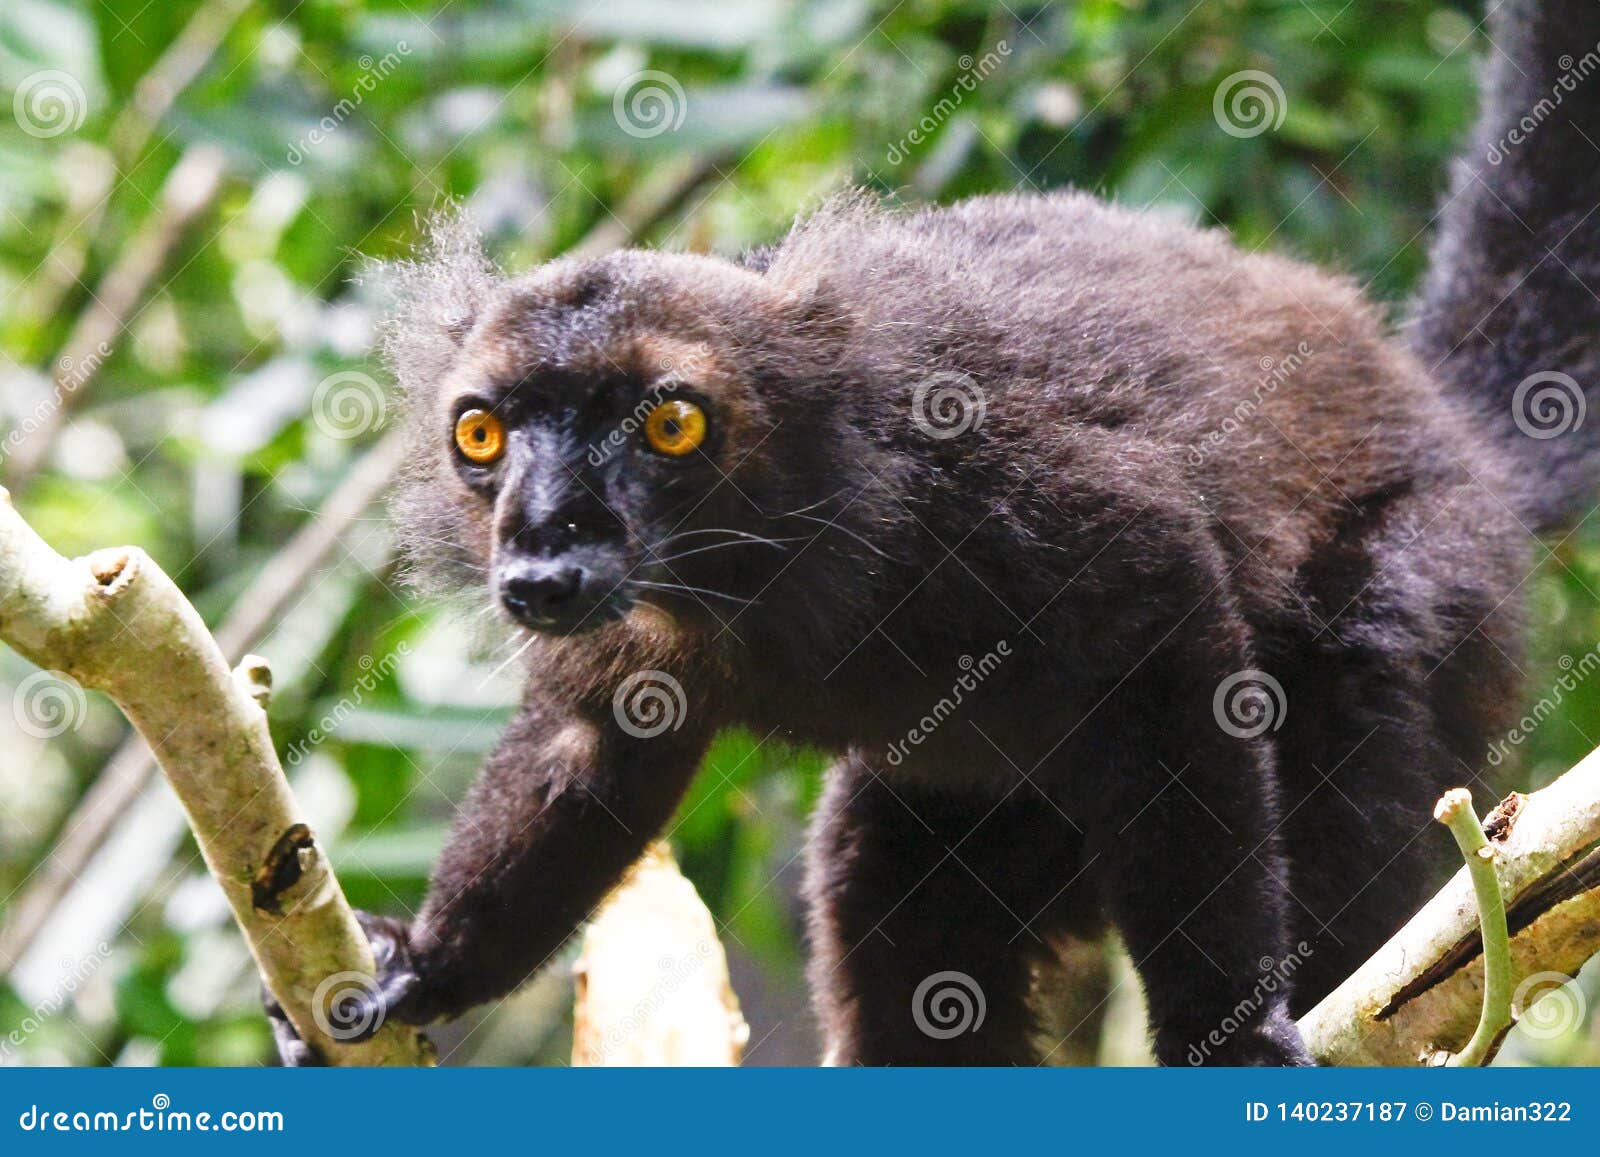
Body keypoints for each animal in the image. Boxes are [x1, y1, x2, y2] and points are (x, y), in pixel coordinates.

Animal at [267, 0, 1600, 1066]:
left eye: (670, 424)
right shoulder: (635, 631)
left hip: (1432, 568)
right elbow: (592, 748)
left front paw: (1223, 1030)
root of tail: (1453, 427)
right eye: (482, 433)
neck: (748, 564)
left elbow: (1173, 653)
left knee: (1359, 688)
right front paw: (425, 958)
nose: (542, 554)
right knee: (891, 872)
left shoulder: (1007, 495)